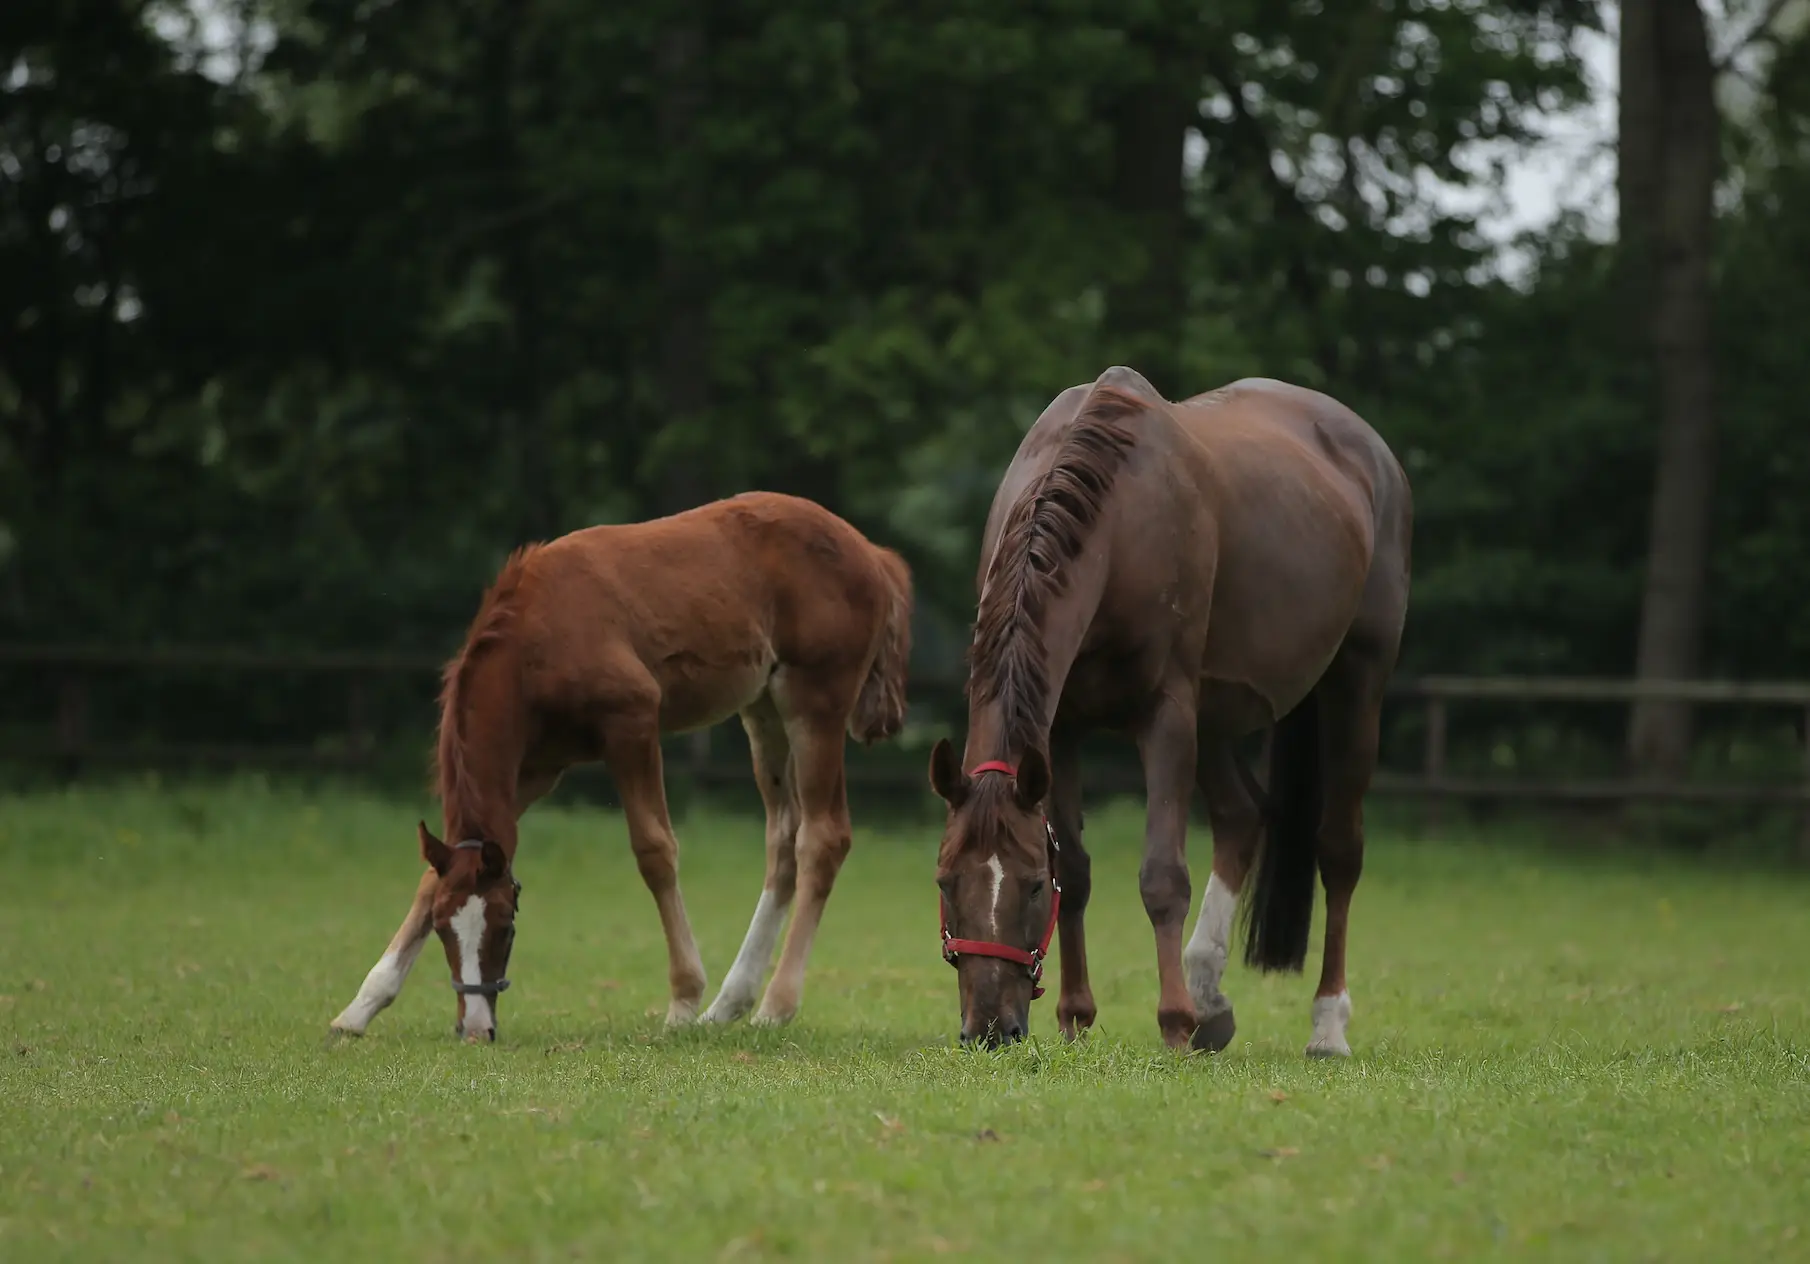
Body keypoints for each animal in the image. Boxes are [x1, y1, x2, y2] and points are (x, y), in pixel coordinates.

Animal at [329, 491, 912, 1043]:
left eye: (504, 926)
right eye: (444, 929)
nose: (474, 1028)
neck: (537, 637)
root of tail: (874, 556)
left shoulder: (632, 722)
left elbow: (655, 850)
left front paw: (682, 1000)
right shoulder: (535, 768)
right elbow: (431, 878)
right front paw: (359, 1009)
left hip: (814, 705)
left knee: (823, 837)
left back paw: (772, 1008)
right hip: (762, 710)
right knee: (784, 839)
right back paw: (728, 1006)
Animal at [928, 367, 1411, 1054]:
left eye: (1030, 886)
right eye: (946, 882)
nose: (992, 1029)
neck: (1118, 521)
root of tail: (1372, 450)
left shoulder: (1166, 714)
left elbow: (1161, 876)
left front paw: (1175, 1023)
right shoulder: (1061, 729)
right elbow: (1077, 869)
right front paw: (1076, 1017)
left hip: (1354, 684)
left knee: (1339, 850)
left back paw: (1325, 1025)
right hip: (1214, 719)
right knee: (1241, 816)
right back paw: (1210, 995)